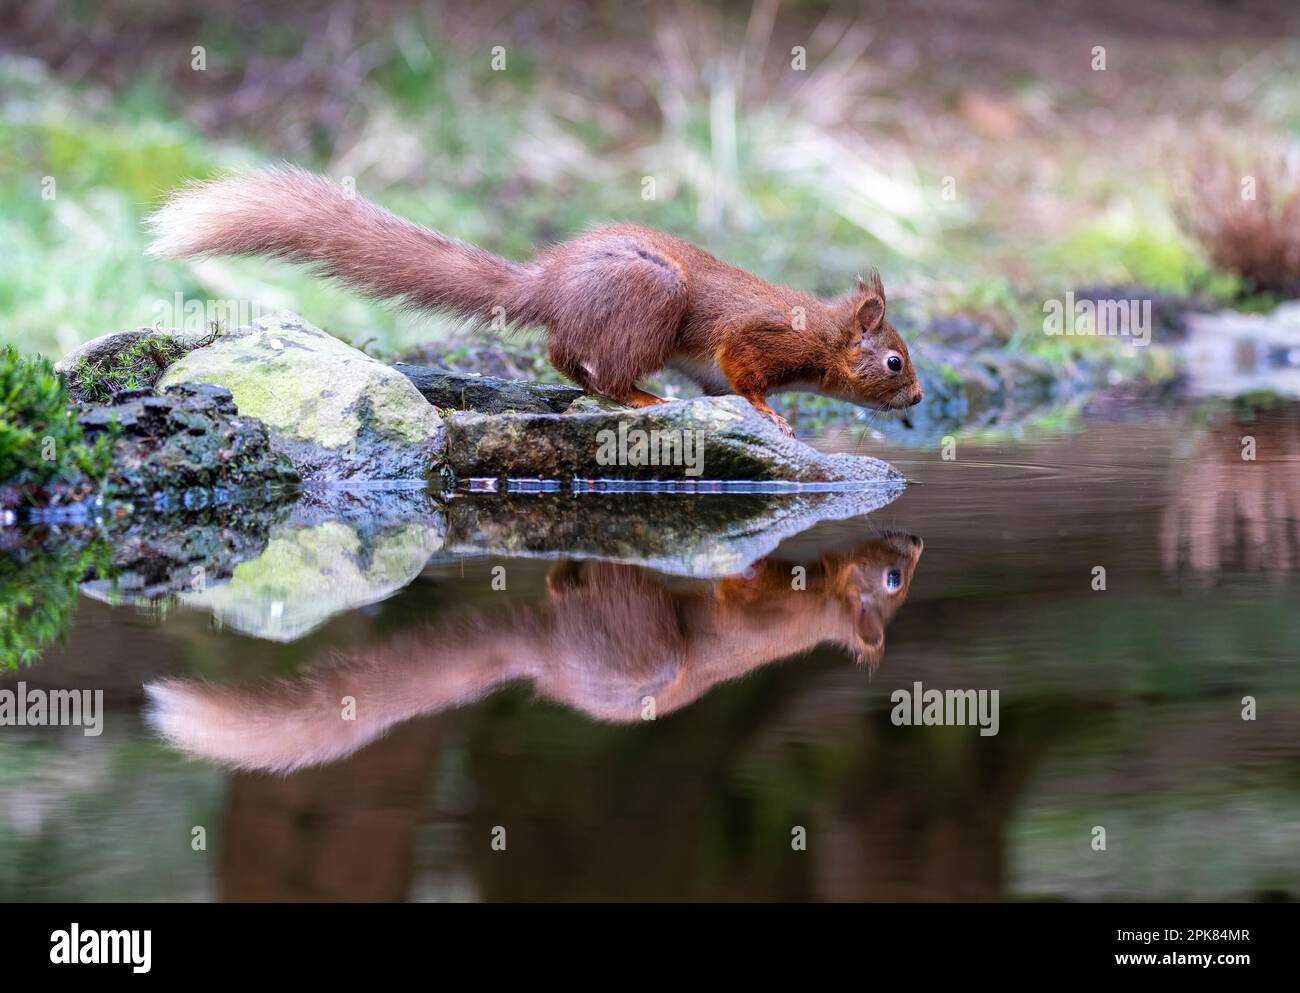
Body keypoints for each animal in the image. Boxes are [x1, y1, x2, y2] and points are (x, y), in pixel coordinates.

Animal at [147, 167, 922, 435]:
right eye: (894, 362)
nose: (917, 400)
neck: (823, 338)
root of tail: (549, 283)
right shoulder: (756, 338)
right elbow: (744, 375)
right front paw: (771, 414)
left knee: (563, 357)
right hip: (653, 298)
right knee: (601, 369)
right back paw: (642, 398)